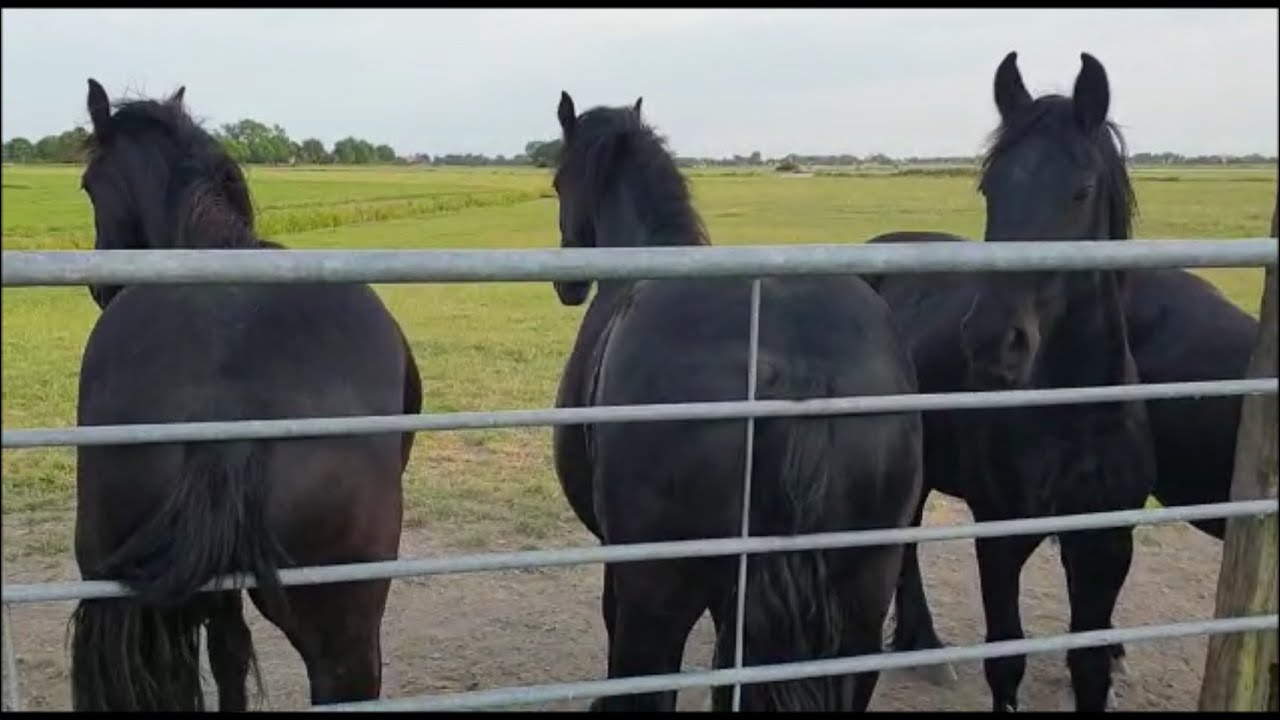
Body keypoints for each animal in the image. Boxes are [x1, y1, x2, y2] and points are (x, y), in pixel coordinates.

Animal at [865, 52, 1158, 712]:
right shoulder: (999, 538)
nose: (993, 341)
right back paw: (924, 644)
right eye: (990, 188)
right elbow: (1007, 661)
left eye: (1081, 191)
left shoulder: (1107, 542)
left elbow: (1089, 663)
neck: (1075, 412)